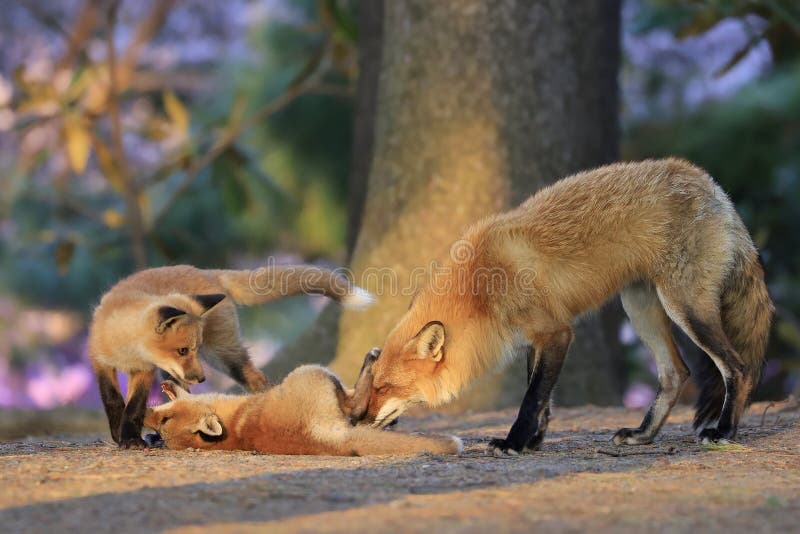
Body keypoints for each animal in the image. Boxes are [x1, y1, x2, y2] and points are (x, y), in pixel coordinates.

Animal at [89, 263, 373, 448]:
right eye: (183, 350)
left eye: (194, 347)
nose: (202, 380)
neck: (125, 346)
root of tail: (206, 270)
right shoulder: (101, 362)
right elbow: (113, 400)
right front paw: (121, 434)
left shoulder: (145, 370)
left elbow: (135, 406)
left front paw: (130, 437)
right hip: (177, 370)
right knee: (184, 393)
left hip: (223, 355)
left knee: (257, 380)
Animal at [349, 158, 773, 455]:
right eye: (370, 385)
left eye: (384, 387)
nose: (355, 419)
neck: (480, 290)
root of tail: (709, 183)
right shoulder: (534, 338)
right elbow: (542, 398)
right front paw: (533, 442)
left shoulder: (556, 333)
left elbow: (532, 398)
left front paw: (514, 443)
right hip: (641, 309)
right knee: (676, 373)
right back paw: (643, 435)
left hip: (685, 308)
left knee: (738, 367)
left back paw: (723, 431)